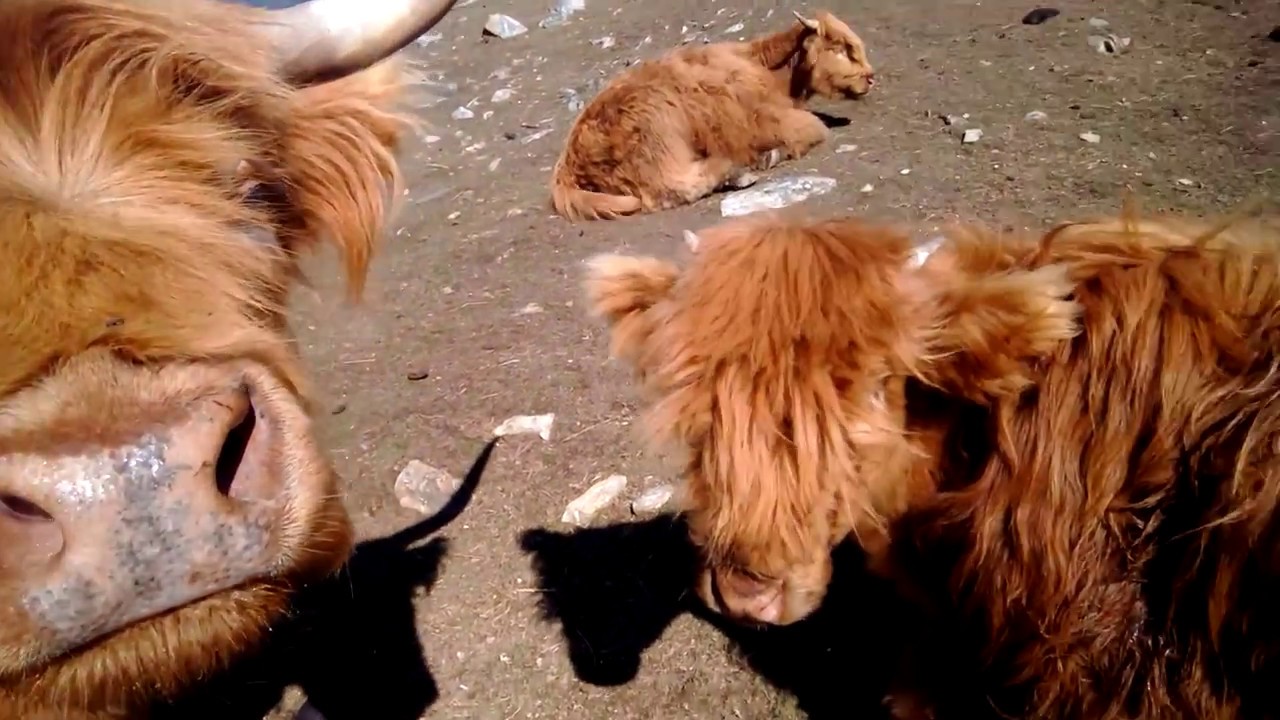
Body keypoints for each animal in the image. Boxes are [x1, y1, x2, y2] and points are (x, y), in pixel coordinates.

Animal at [550, 10, 875, 222]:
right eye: (841, 48)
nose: (871, 77)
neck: (766, 69)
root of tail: (567, 164)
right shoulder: (753, 122)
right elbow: (813, 127)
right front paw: (770, 155)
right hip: (660, 142)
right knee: (670, 190)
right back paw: (736, 172)